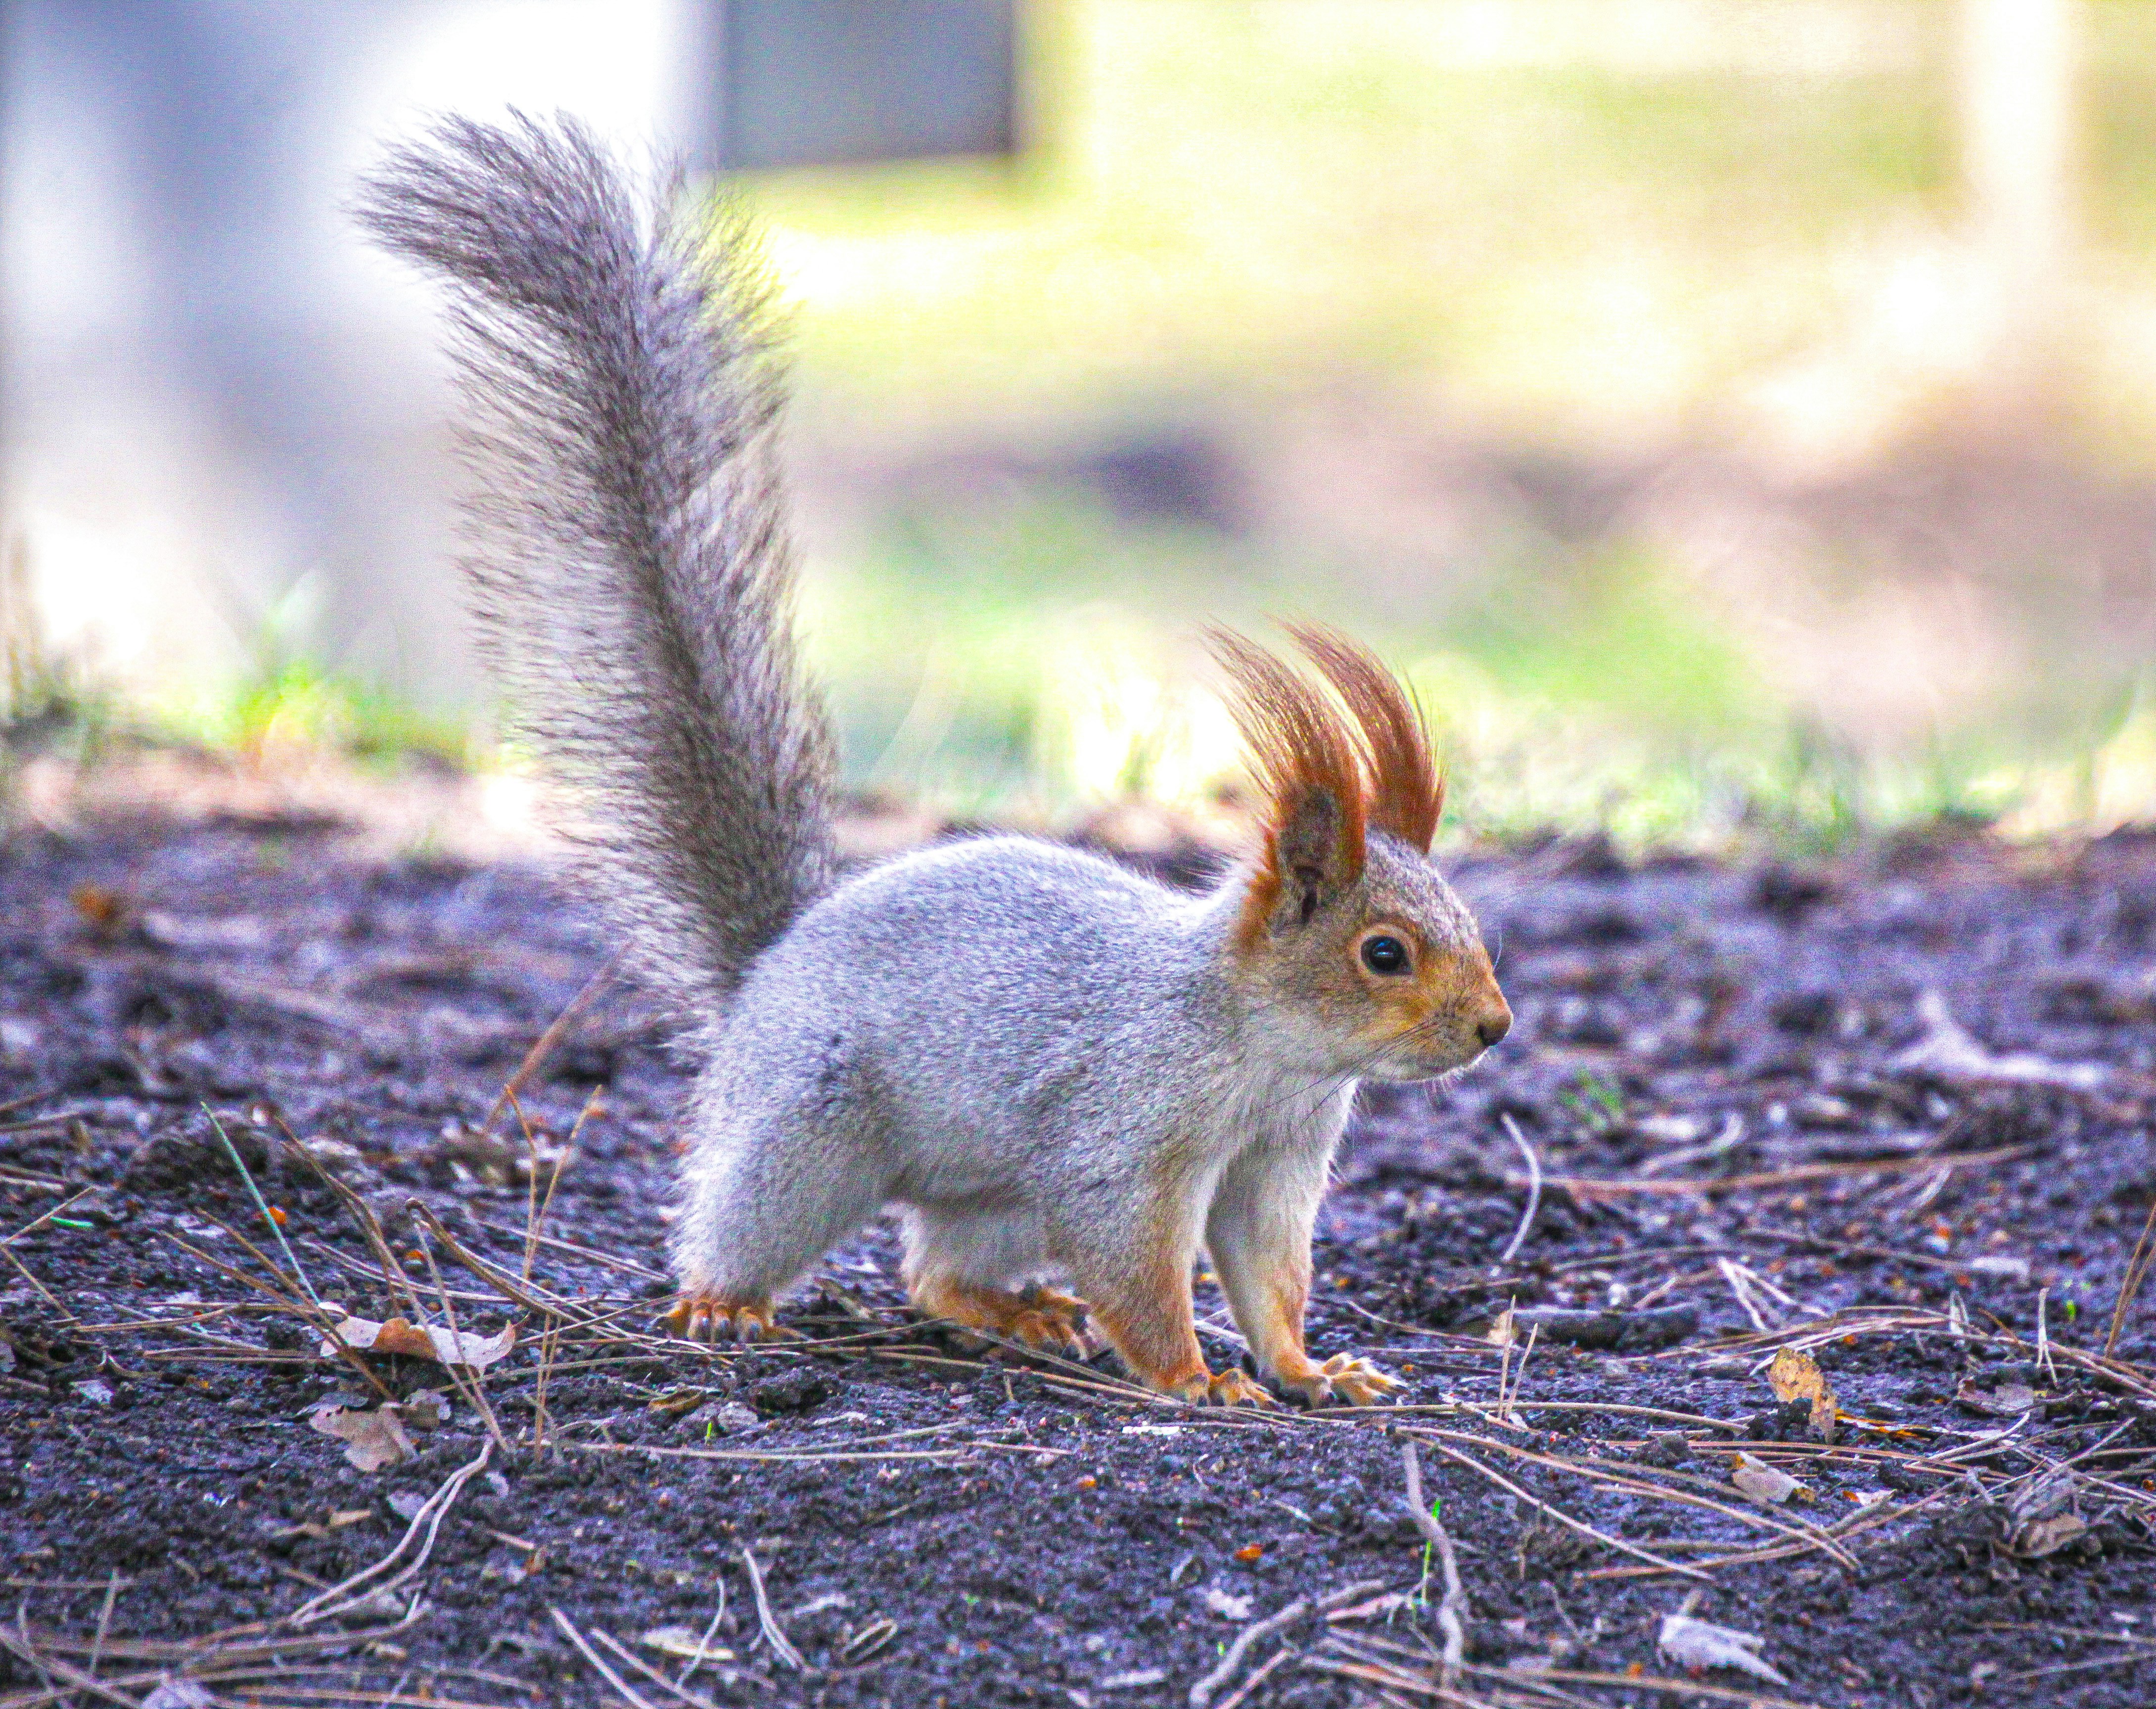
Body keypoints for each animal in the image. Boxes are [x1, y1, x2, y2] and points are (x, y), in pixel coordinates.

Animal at [358, 114, 1511, 1408]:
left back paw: (1015, 1310)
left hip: (991, 1198)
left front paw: (1313, 1369)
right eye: (1382, 952)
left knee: (933, 1273)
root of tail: (767, 967)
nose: (1493, 1027)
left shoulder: (1278, 1161)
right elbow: (1134, 1263)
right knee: (753, 1220)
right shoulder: (1122, 1131)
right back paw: (719, 1300)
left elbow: (1270, 1276)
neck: (1262, 1046)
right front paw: (1191, 1378)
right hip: (807, 1133)